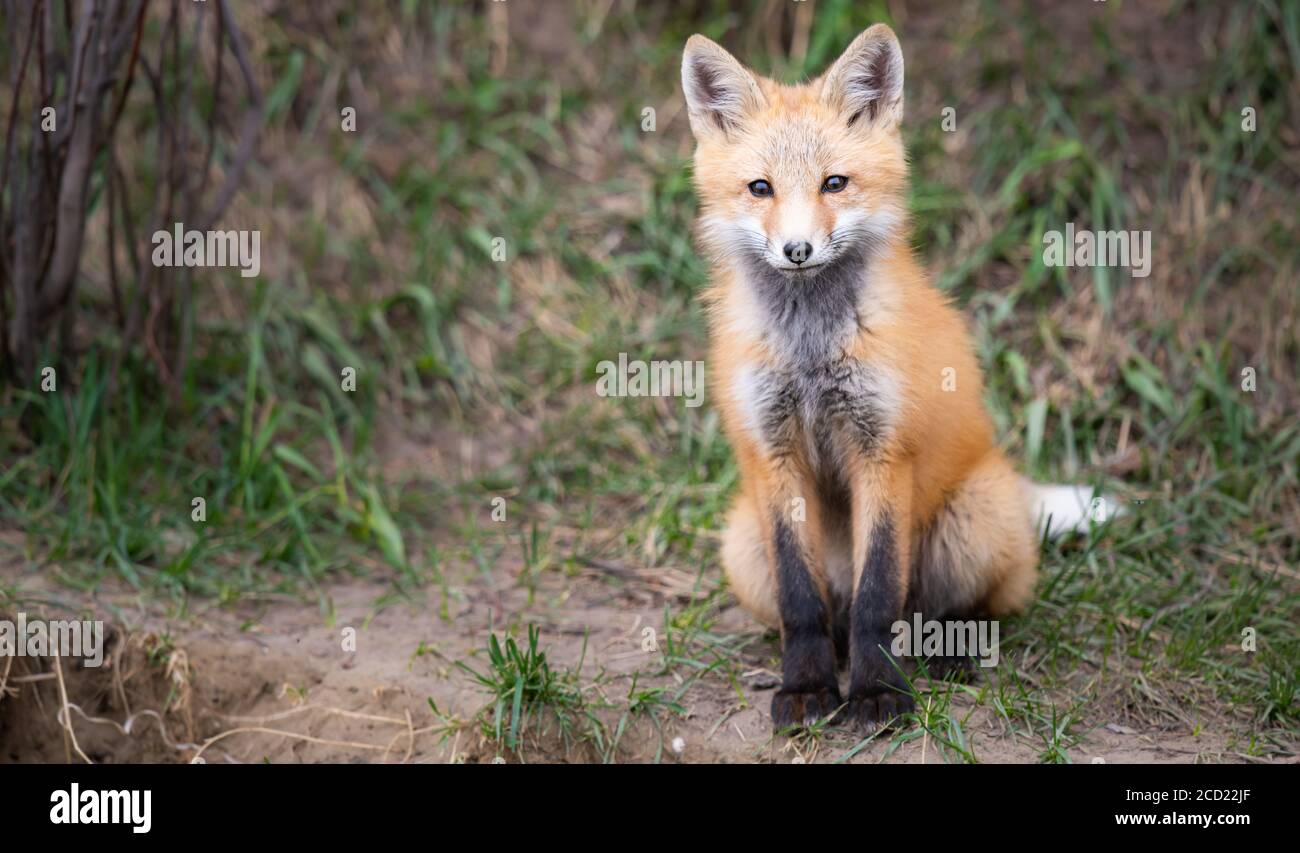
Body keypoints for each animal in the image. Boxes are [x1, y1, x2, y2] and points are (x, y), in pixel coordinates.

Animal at [681, 24, 1102, 731]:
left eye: (835, 183)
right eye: (760, 188)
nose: (798, 250)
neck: (813, 352)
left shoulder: (883, 450)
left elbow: (879, 594)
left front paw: (878, 694)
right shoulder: (772, 455)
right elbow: (801, 602)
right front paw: (807, 687)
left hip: (971, 521)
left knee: (944, 609)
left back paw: (949, 653)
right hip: (743, 541)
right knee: (834, 612)